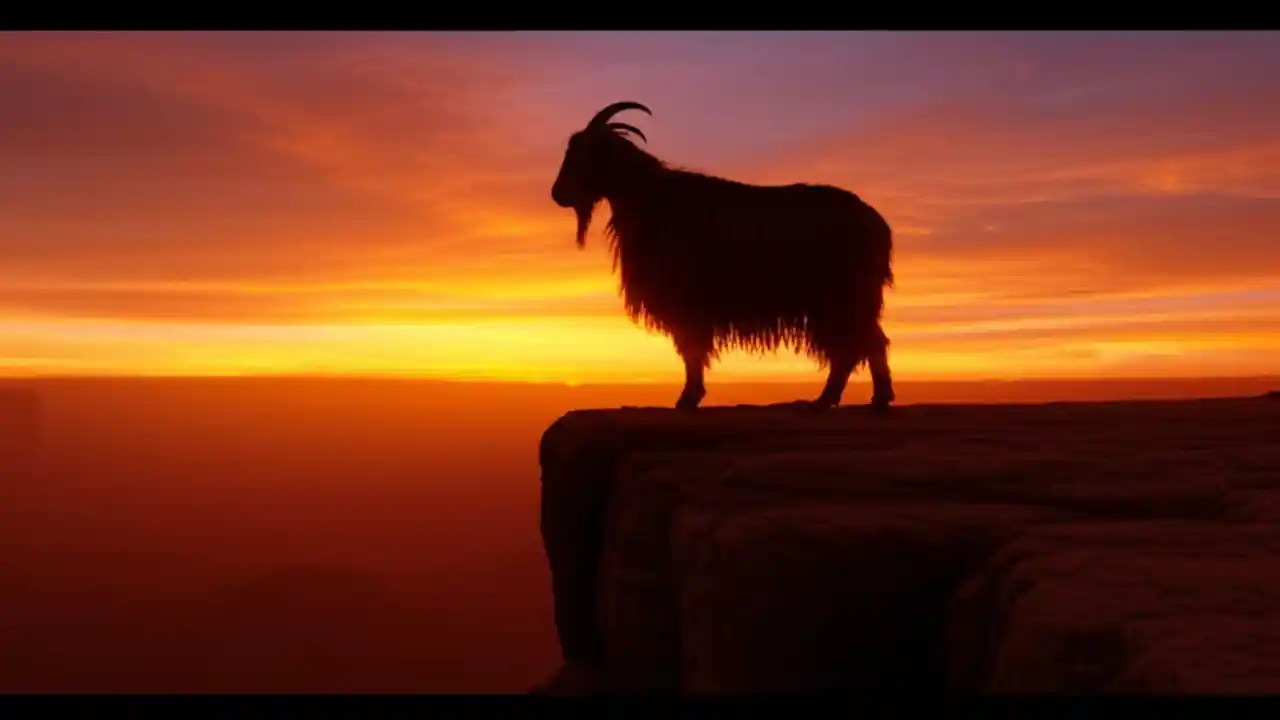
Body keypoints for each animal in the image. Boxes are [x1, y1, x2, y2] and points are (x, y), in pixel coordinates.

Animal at [550, 101, 896, 413]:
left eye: (583, 153)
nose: (558, 194)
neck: (653, 199)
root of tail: (877, 224)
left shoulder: (686, 301)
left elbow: (691, 350)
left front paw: (688, 398)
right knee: (859, 343)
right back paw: (847, 399)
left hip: (843, 296)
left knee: (860, 343)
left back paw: (847, 399)